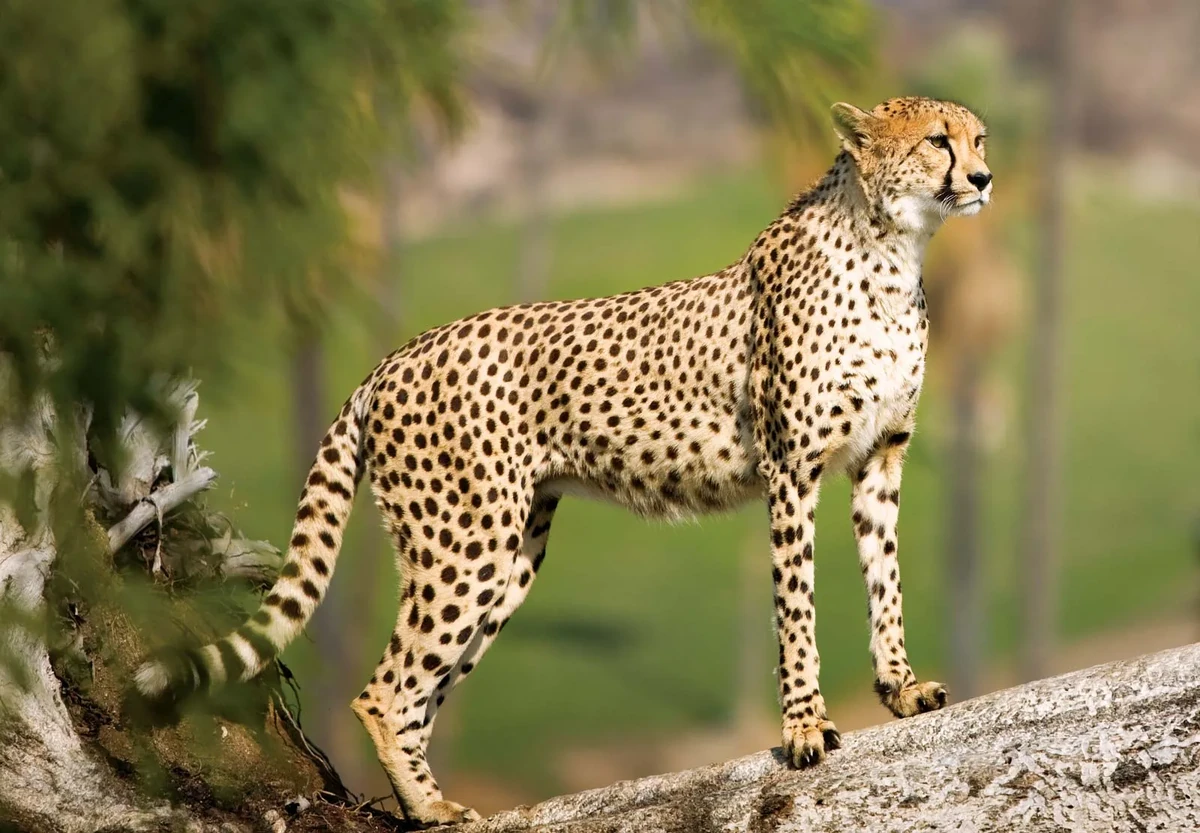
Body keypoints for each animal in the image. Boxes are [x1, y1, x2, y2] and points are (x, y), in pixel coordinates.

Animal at [132, 96, 992, 828]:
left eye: (977, 137)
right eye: (936, 141)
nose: (983, 177)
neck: (891, 248)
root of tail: (393, 357)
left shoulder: (879, 460)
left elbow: (885, 580)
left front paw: (901, 688)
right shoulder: (792, 468)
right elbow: (797, 606)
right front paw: (807, 726)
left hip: (508, 556)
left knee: (419, 691)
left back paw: (427, 803)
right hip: (464, 545)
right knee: (382, 691)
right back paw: (428, 804)